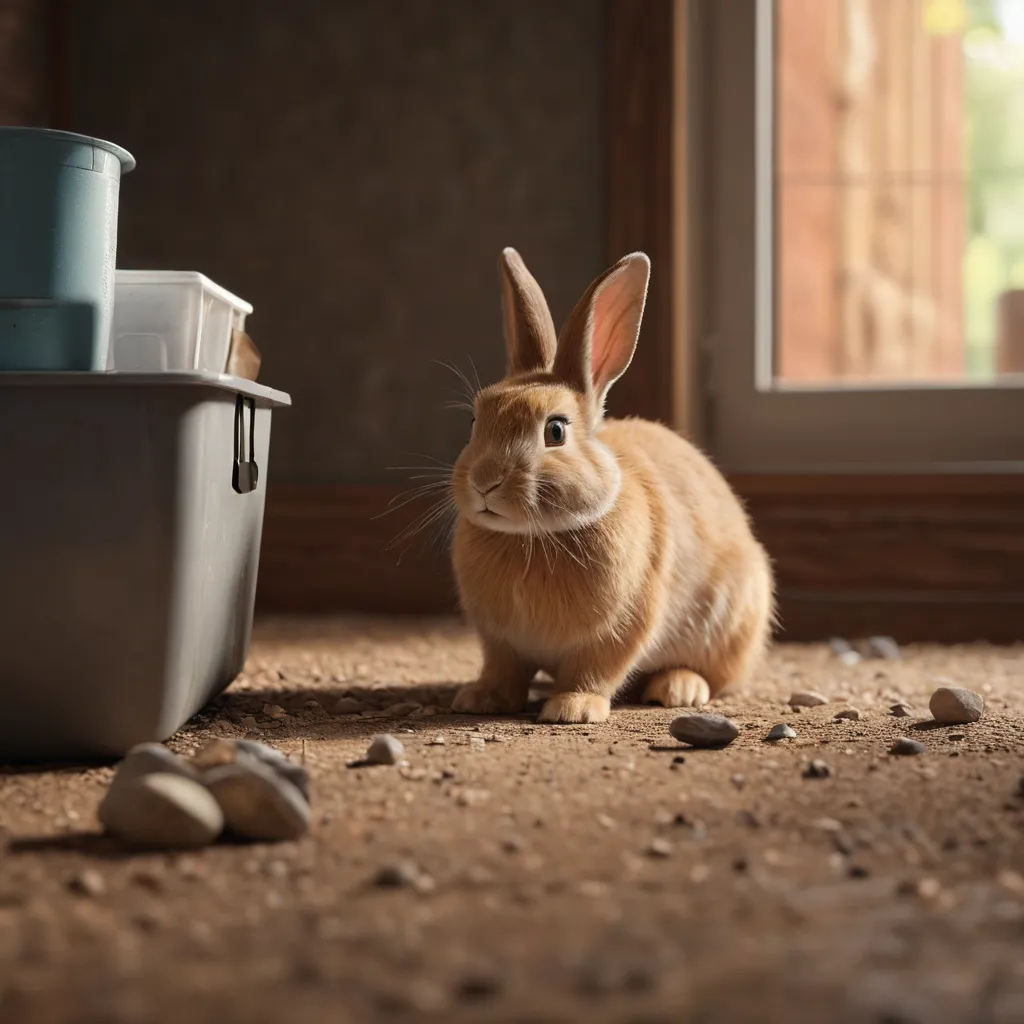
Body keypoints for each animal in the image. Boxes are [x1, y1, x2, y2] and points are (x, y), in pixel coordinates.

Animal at [449, 248, 774, 724]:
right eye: (475, 420)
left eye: (556, 432)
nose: (485, 481)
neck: (531, 536)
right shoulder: (499, 641)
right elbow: (502, 670)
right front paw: (479, 698)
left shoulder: (622, 627)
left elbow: (596, 669)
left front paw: (572, 708)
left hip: (731, 621)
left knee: (712, 675)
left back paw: (678, 689)